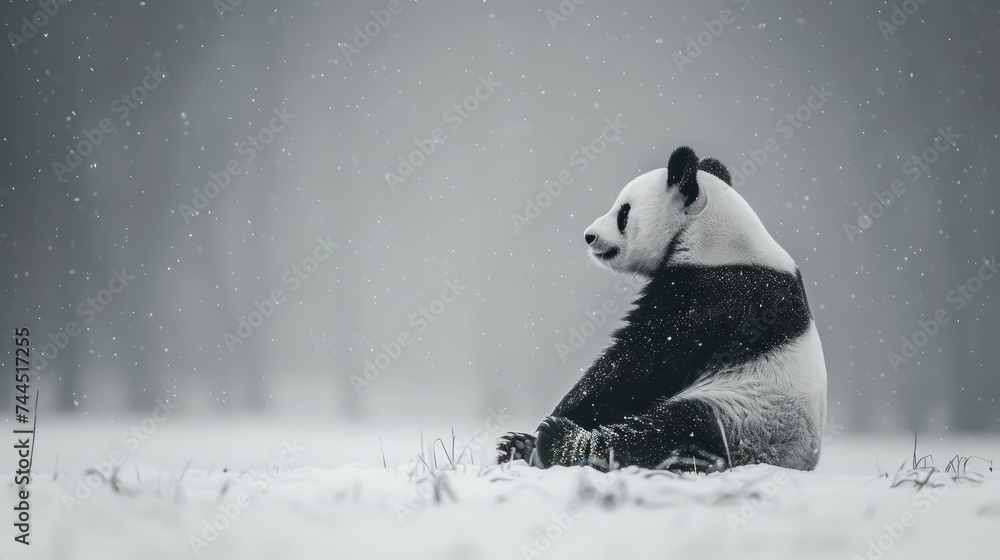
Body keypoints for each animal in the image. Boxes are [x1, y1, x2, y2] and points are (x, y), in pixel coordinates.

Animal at [497, 146, 827, 472]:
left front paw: (559, 415)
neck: (712, 234)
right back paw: (520, 446)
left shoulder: (722, 297)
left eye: (624, 212)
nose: (590, 236)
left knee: (673, 426)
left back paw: (561, 443)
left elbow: (642, 361)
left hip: (750, 412)